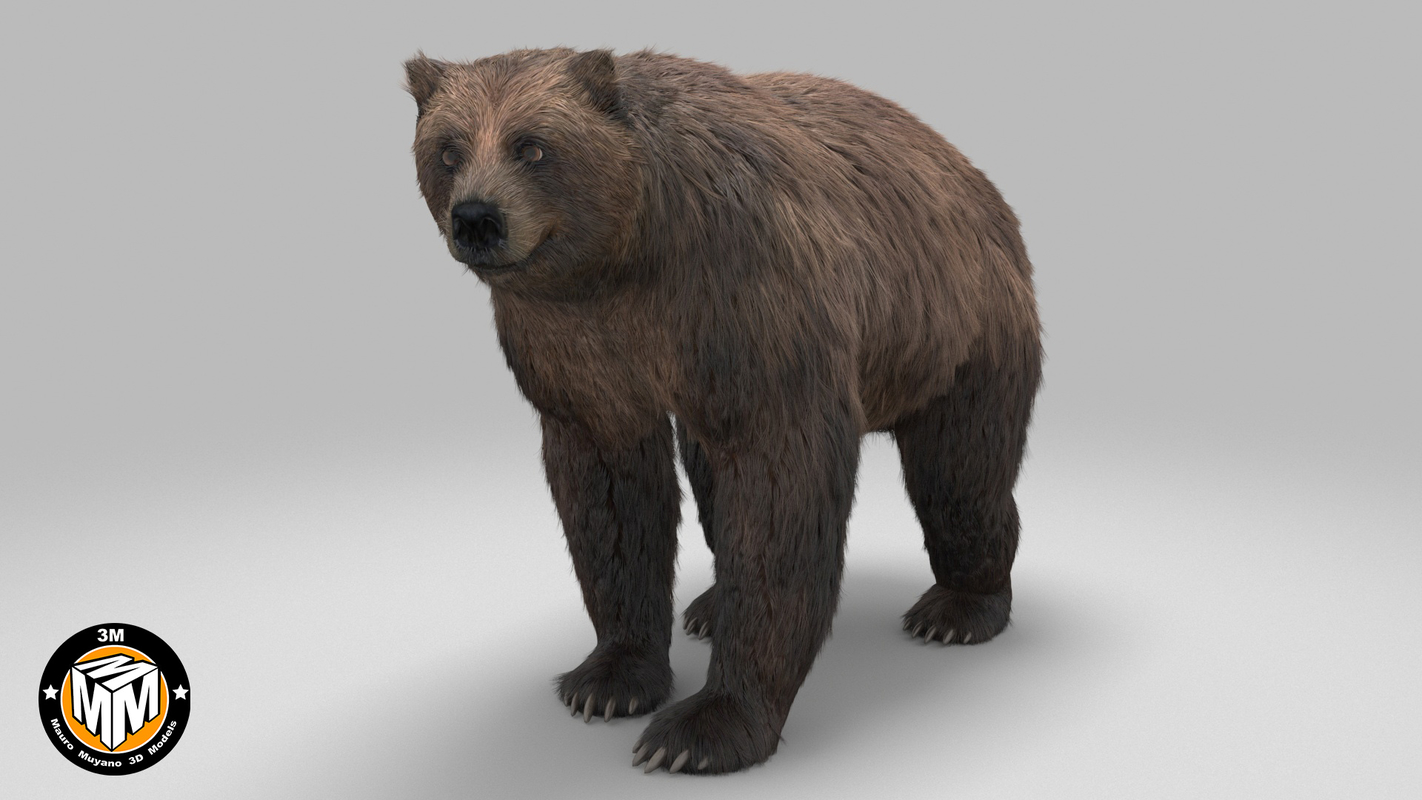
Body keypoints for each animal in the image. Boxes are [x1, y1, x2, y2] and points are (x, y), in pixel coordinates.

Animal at [403, 47, 1042, 774]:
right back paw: (707, 606)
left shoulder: (745, 287)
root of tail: (970, 172)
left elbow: (778, 491)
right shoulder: (573, 337)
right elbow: (610, 493)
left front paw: (705, 728)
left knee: (960, 472)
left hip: (959, 322)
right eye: (448, 148)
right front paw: (611, 678)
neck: (623, 253)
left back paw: (958, 608)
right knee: (710, 477)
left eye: (532, 145)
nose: (477, 218)